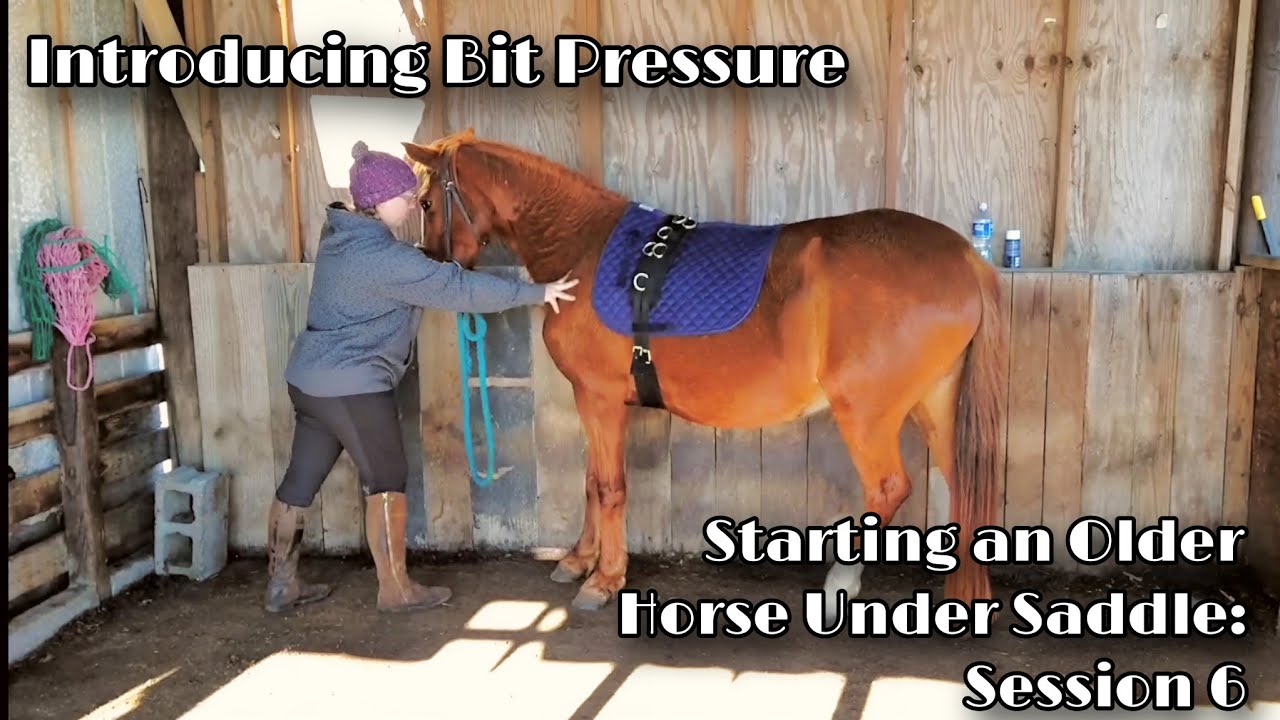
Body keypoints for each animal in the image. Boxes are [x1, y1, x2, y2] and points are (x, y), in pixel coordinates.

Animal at [401, 128, 1007, 617]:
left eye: (427, 201)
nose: (431, 267)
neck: (584, 247)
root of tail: (964, 257)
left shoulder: (598, 397)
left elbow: (609, 485)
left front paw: (603, 580)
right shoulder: (593, 400)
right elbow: (593, 482)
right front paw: (578, 560)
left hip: (867, 413)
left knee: (889, 486)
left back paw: (842, 580)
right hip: (934, 402)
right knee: (961, 480)